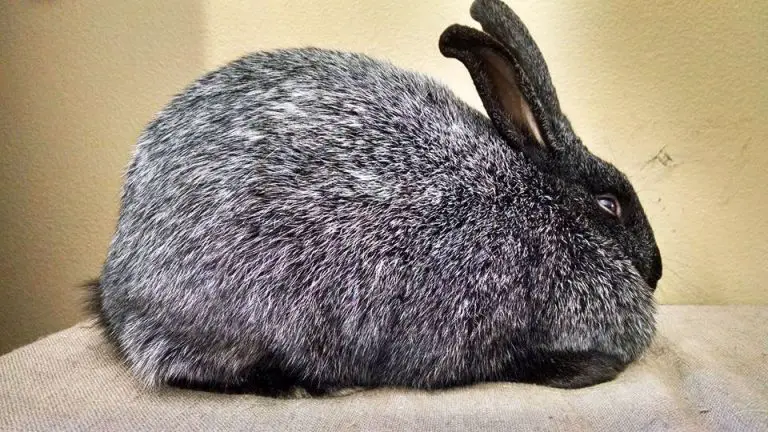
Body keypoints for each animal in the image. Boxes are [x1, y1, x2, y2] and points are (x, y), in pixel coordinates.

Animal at [87, 0, 662, 397]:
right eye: (609, 204)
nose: (656, 270)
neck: (543, 202)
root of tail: (118, 285)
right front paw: (590, 368)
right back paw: (303, 384)